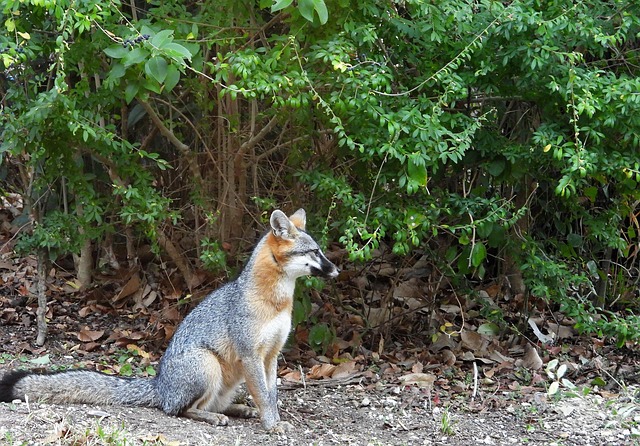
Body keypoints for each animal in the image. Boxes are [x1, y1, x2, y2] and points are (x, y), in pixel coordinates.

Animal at [0, 208, 339, 432]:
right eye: (315, 252)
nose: (336, 269)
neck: (275, 302)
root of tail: (159, 384)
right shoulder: (251, 354)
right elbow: (265, 397)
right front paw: (273, 425)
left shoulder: (271, 355)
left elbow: (271, 395)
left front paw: (274, 419)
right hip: (207, 366)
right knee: (178, 410)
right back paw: (213, 416)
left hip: (227, 377)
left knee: (203, 404)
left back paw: (237, 409)